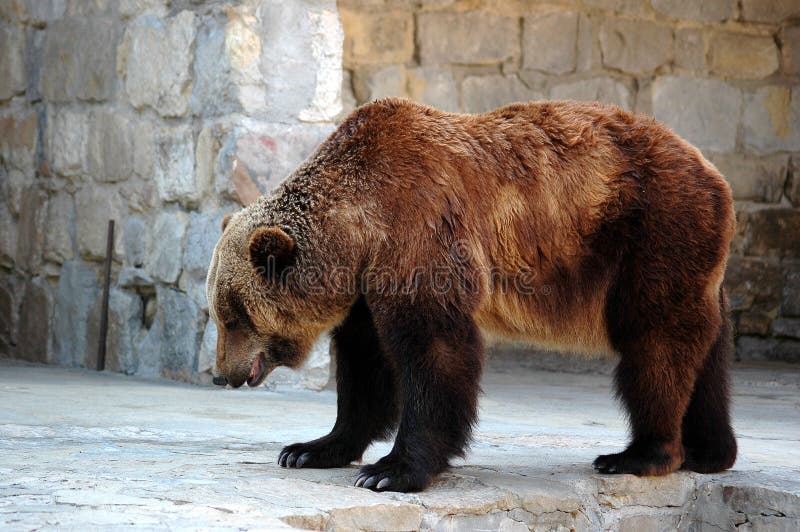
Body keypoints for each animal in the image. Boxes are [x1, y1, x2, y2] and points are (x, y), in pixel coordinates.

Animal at [206, 98, 737, 493]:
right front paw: (309, 449)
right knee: (706, 349)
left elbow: (431, 348)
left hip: (653, 231)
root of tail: (713, 172)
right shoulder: (365, 284)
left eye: (233, 315)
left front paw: (391, 471)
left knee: (655, 342)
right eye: (218, 312)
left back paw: (638, 454)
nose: (221, 374)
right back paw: (710, 451)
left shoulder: (416, 231)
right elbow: (365, 363)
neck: (356, 230)